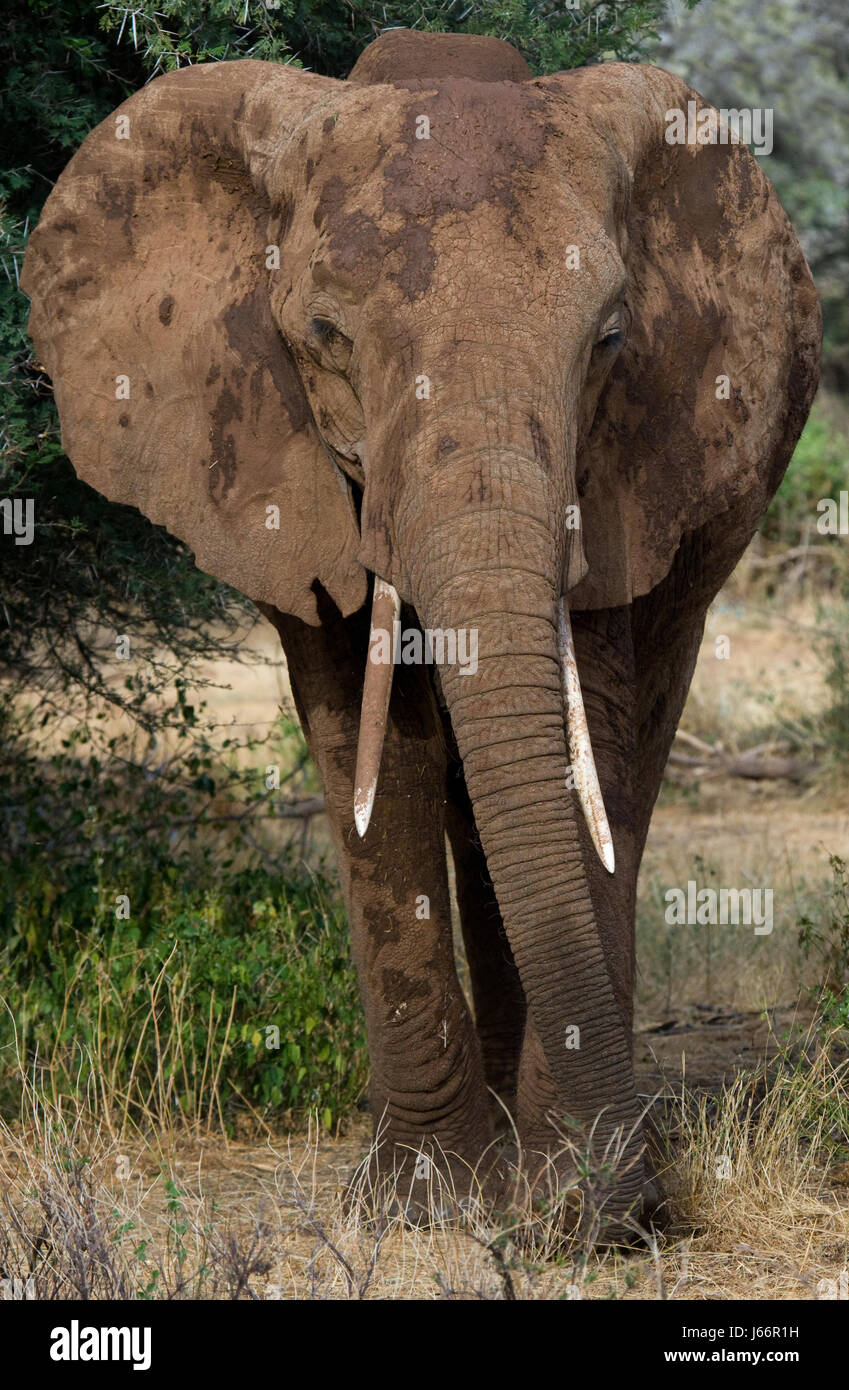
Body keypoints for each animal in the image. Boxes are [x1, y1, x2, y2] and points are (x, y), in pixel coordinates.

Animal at [22, 28, 820, 1237]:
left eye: (611, 339)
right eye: (323, 335)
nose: (629, 1204)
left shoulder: (623, 472)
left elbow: (593, 741)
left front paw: (578, 1203)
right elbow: (370, 749)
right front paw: (425, 1200)